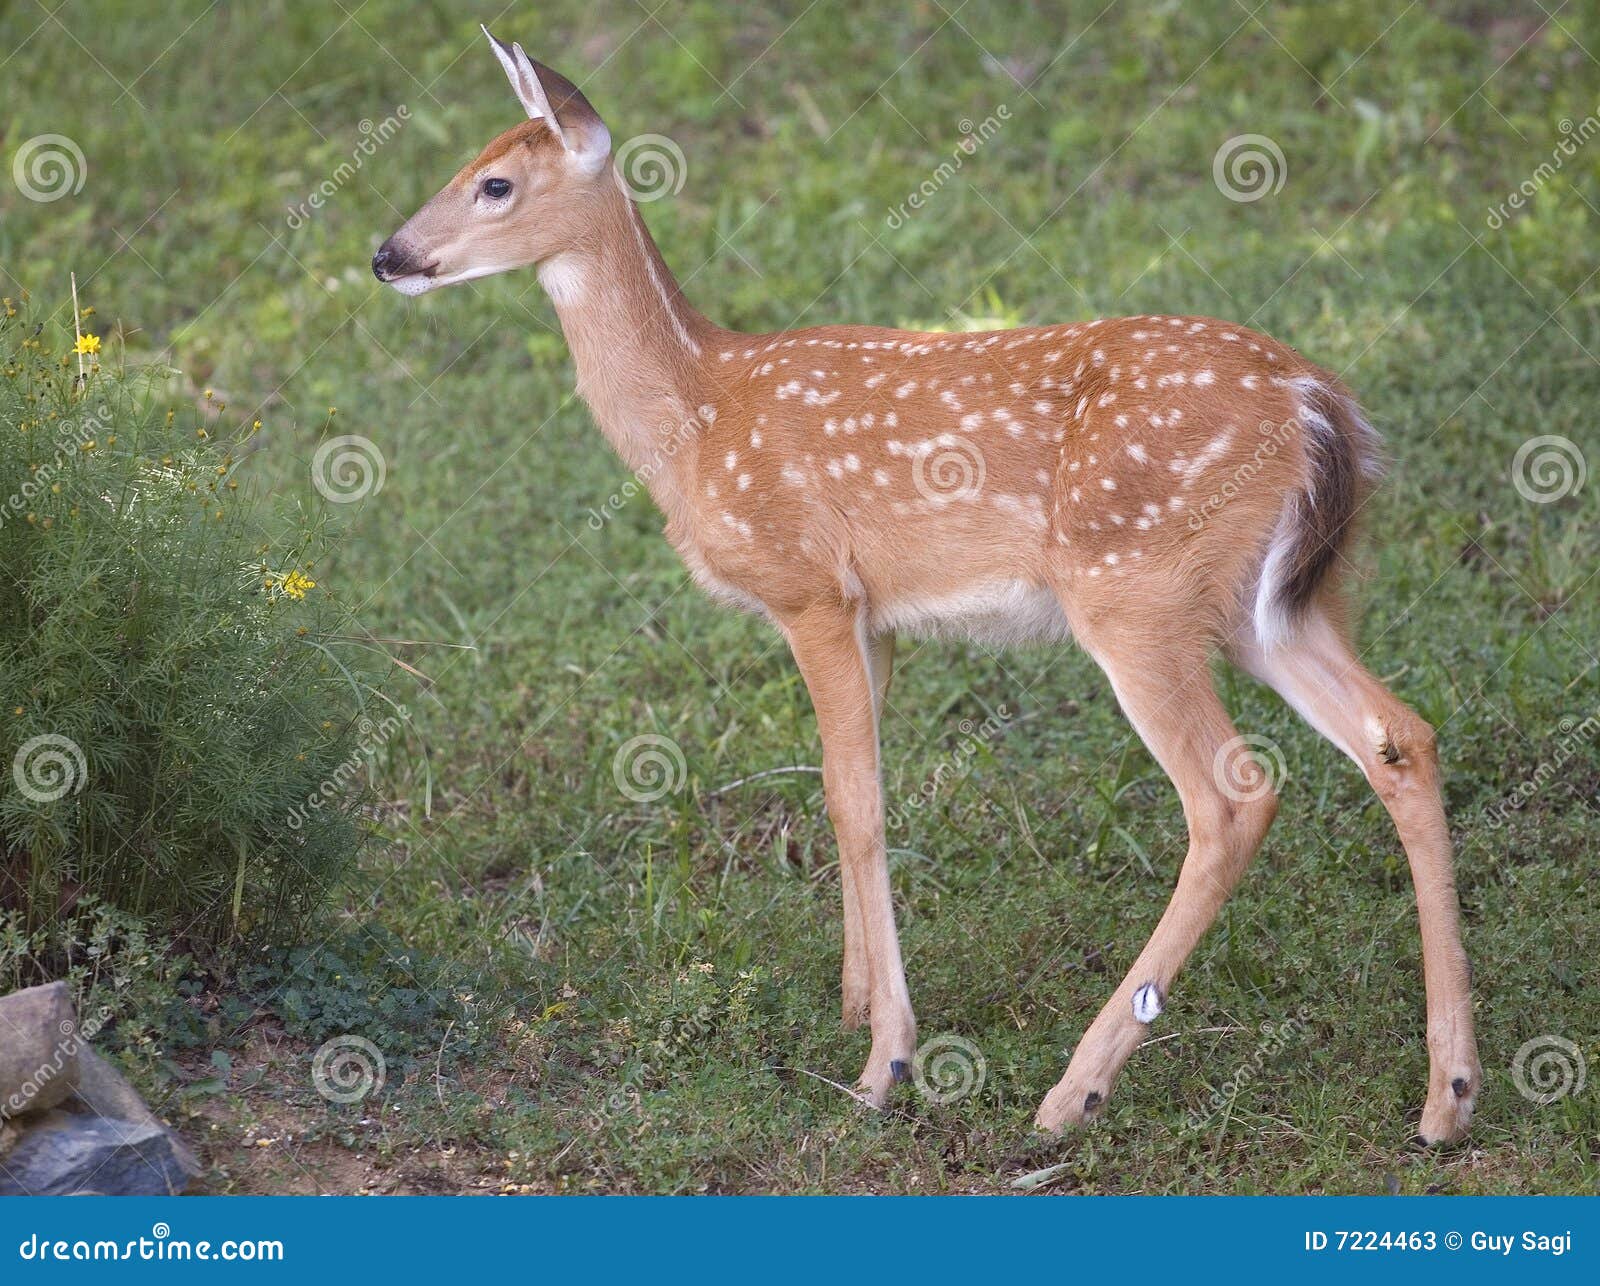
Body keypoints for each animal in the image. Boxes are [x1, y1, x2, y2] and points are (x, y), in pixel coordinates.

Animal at [371, 28, 1480, 1145]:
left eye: (495, 183)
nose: (389, 256)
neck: (698, 412)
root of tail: (1320, 405)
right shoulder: (876, 617)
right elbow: (840, 789)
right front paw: (853, 1002)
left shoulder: (808, 586)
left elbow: (856, 800)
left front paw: (884, 1061)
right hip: (1281, 601)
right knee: (1400, 736)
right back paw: (1448, 1095)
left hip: (1135, 588)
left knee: (1232, 793)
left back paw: (1071, 1093)